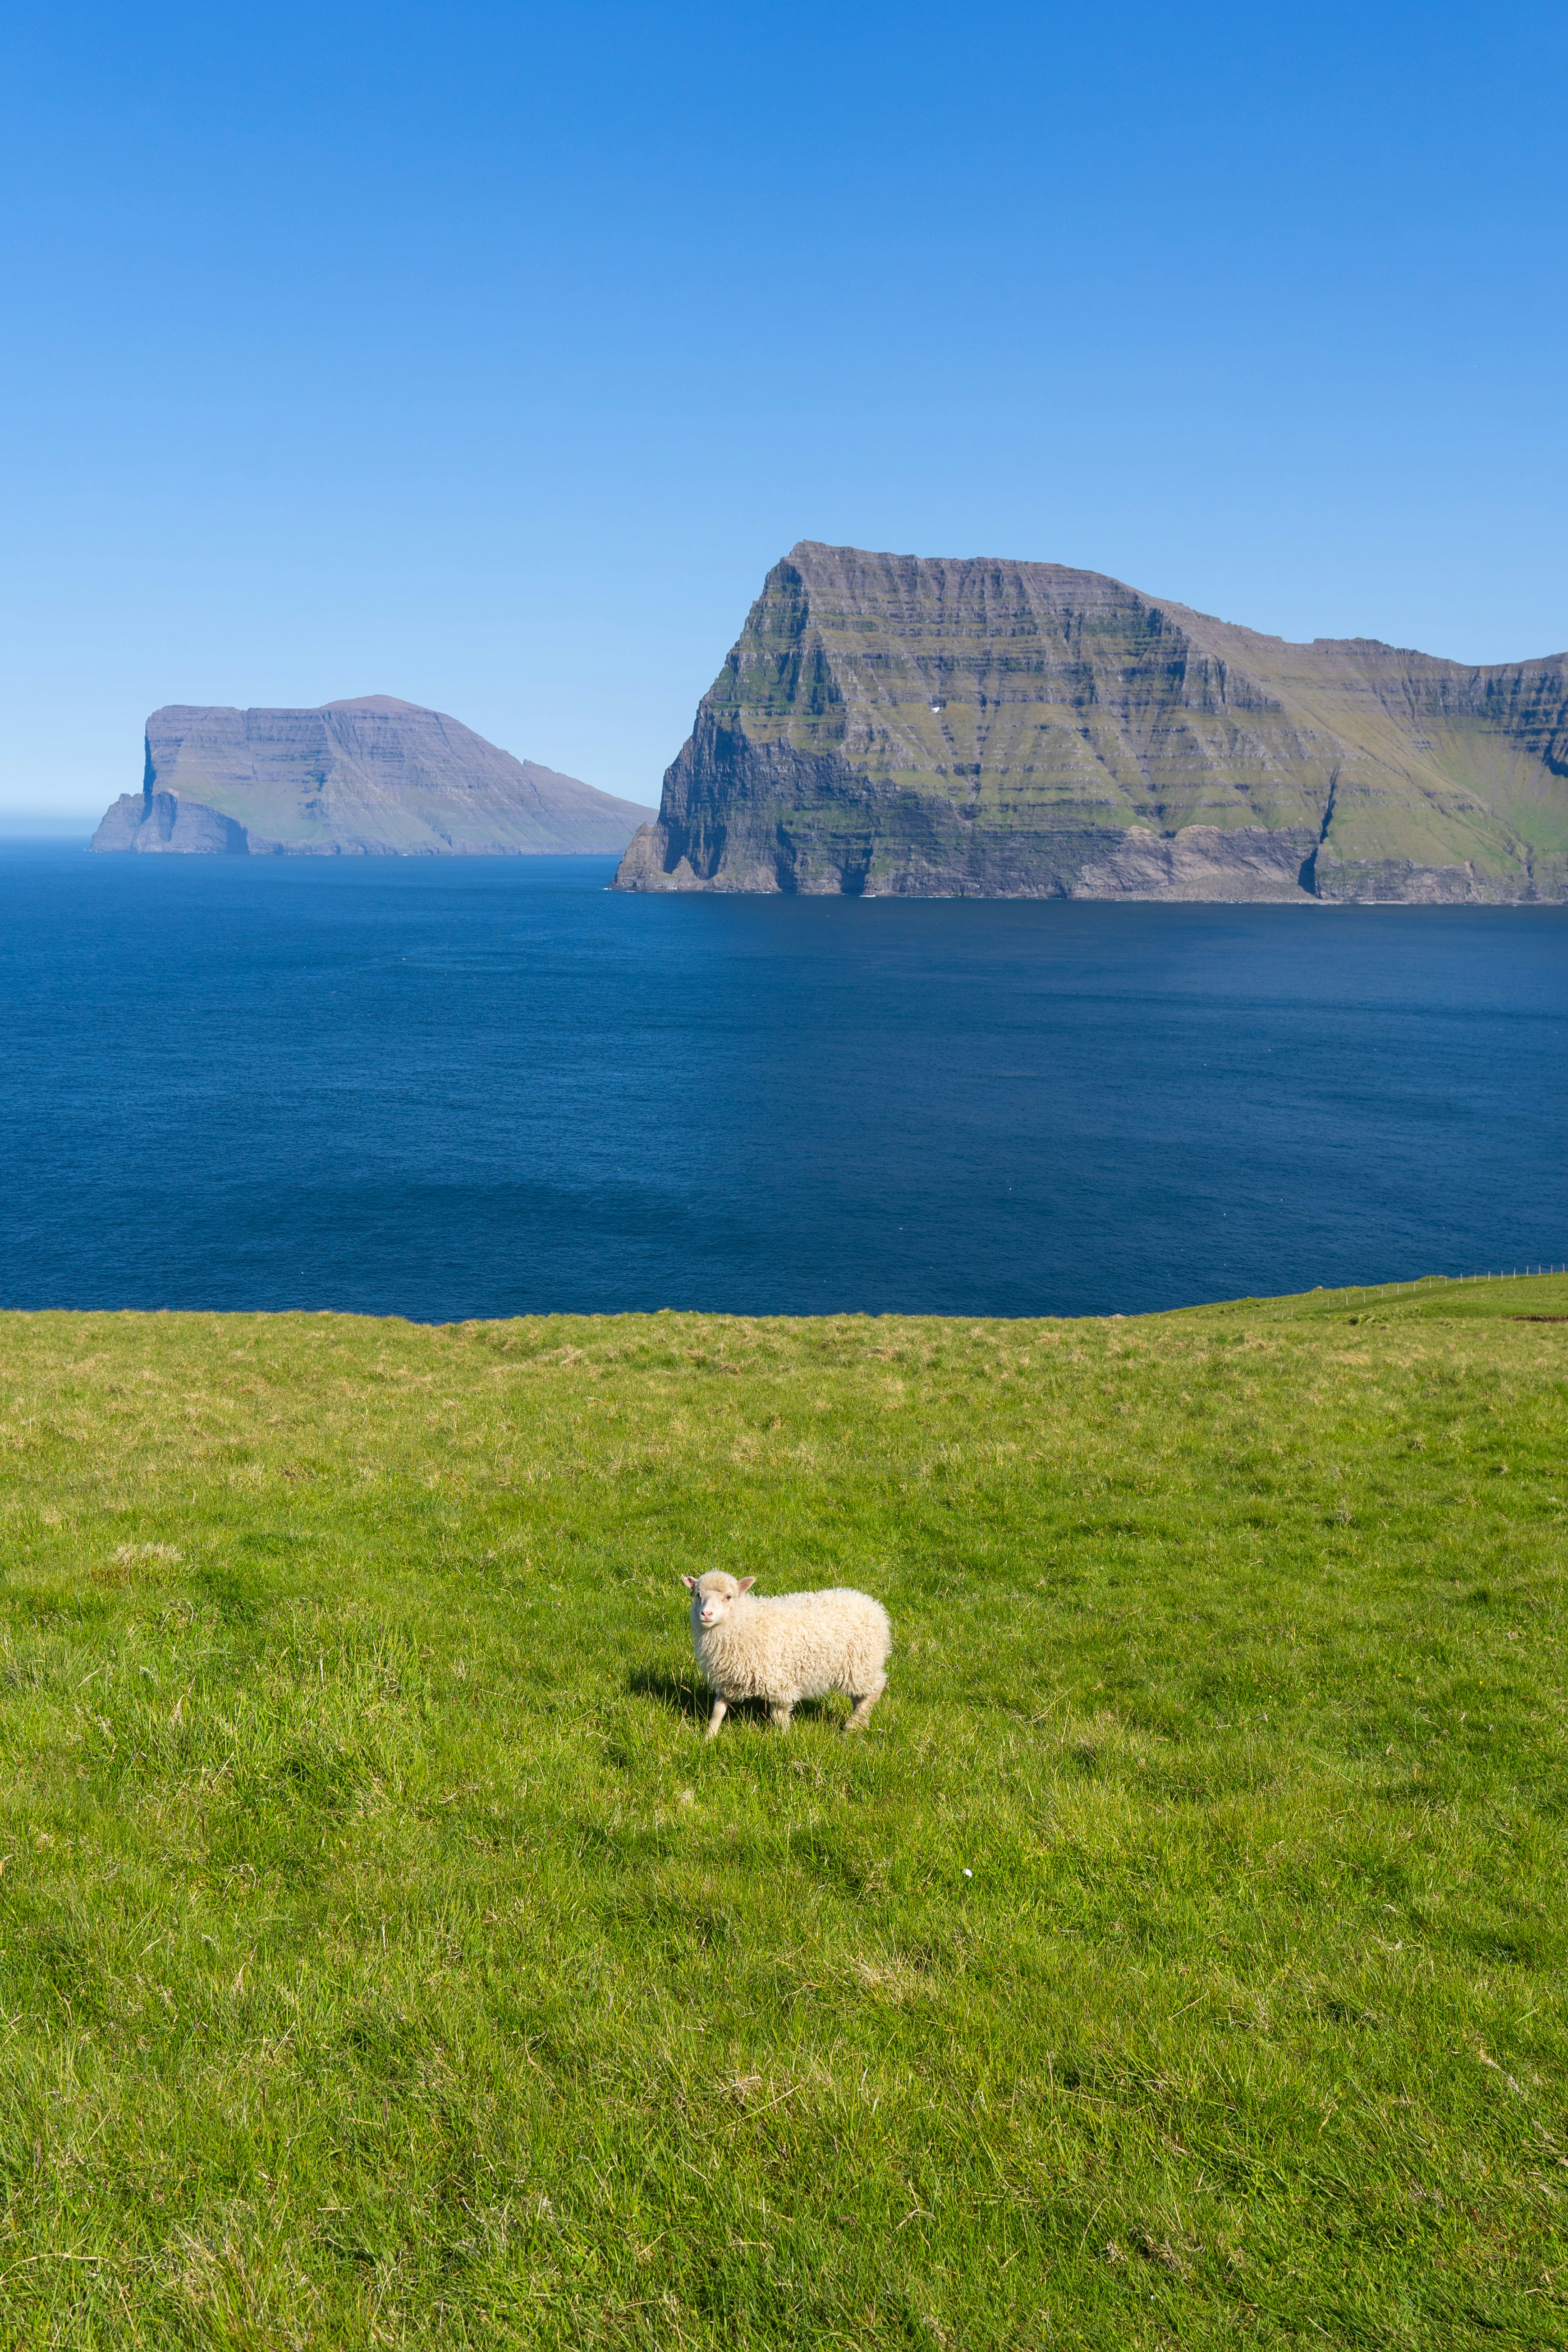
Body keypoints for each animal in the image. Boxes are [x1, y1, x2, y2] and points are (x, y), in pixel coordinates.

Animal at [680, 1571, 891, 1740]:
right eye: (698, 1595)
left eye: (728, 1597)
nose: (706, 1614)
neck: (745, 1621)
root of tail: (874, 1606)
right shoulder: (730, 1677)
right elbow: (718, 1708)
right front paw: (709, 1737)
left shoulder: (778, 1682)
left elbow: (779, 1715)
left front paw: (788, 1737)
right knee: (859, 1697)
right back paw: (861, 1723)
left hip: (862, 1664)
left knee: (875, 1689)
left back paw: (853, 1724)